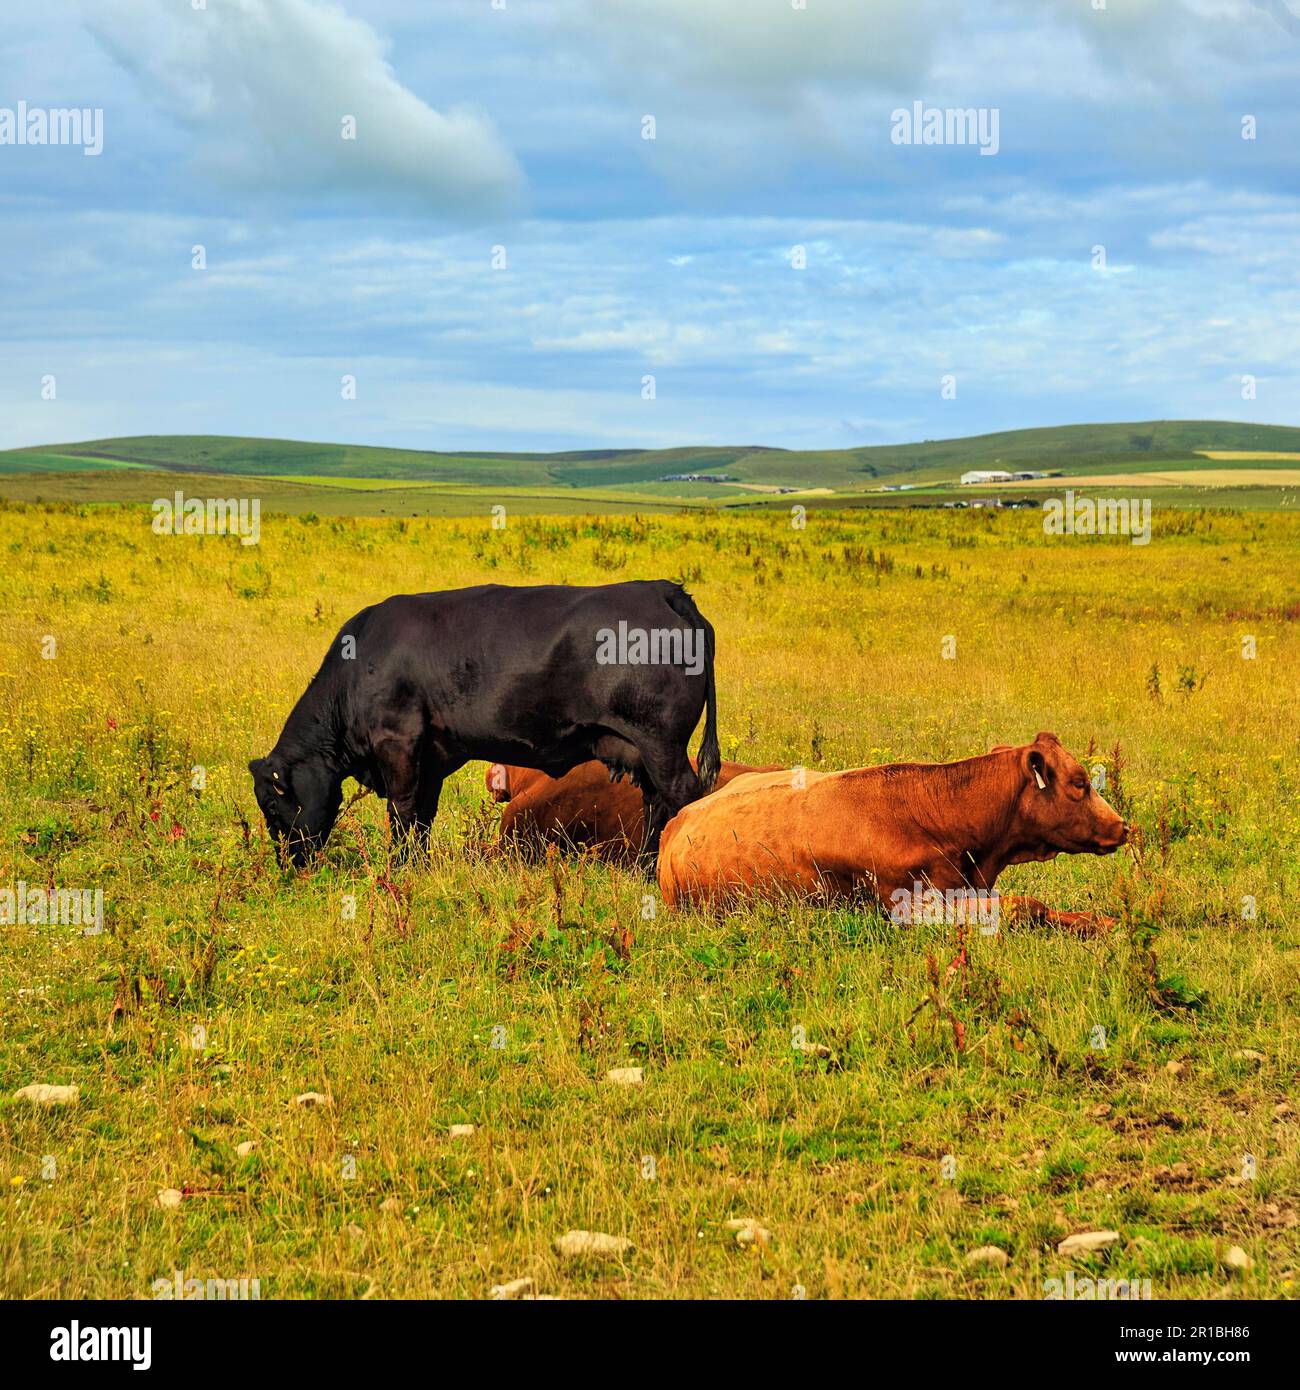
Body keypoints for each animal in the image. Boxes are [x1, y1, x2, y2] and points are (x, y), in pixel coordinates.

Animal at [249, 580, 719, 867]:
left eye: (272, 805)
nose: (288, 863)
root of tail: (662, 589)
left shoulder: (397, 743)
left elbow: (401, 812)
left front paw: (397, 871)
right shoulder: (431, 757)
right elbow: (422, 816)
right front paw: (417, 868)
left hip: (661, 743)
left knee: (681, 795)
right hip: (642, 748)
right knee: (655, 802)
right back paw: (643, 867)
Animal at [657, 732, 1128, 934]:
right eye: (1080, 782)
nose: (1123, 827)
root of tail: (677, 822)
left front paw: (1101, 921)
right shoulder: (908, 904)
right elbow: (1025, 906)